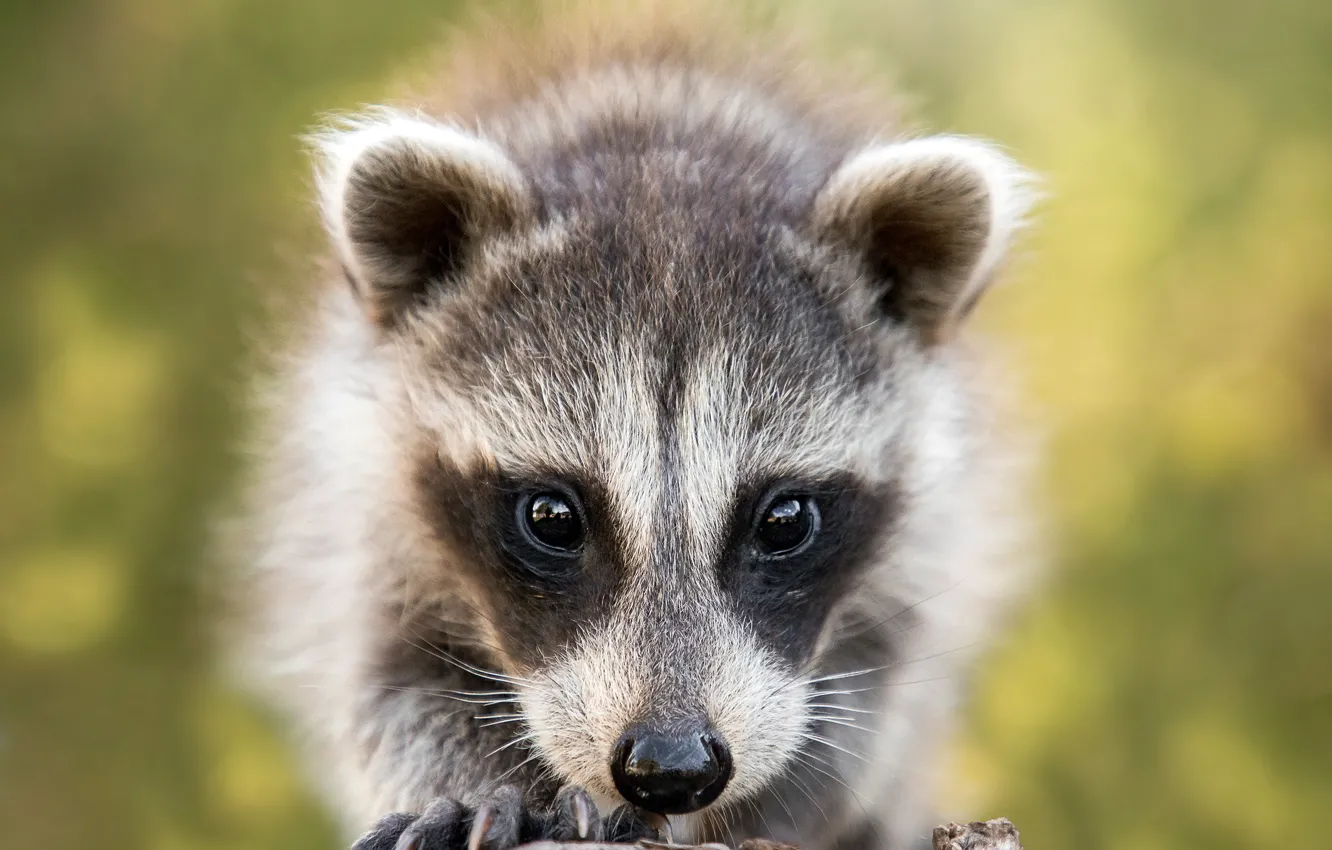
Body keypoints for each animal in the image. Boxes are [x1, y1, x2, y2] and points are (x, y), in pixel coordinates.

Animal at [236, 6, 1038, 850]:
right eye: (552, 517)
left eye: (784, 520)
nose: (672, 766)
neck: (658, 132)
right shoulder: (356, 508)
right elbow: (388, 687)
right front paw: (471, 787)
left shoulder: (932, 532)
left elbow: (871, 697)